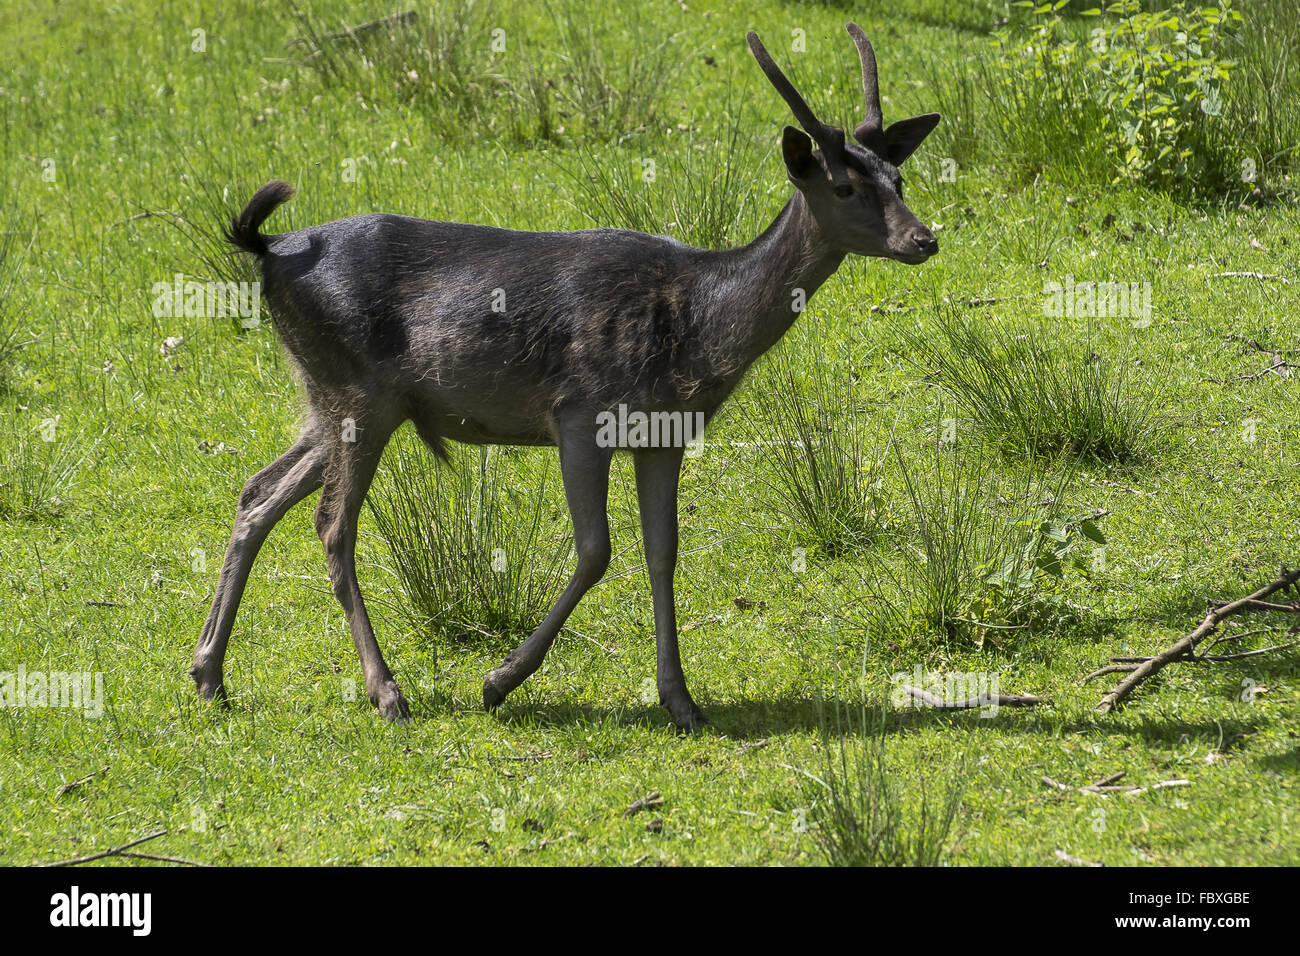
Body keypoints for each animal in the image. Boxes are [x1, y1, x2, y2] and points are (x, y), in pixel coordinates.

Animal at [190, 23, 941, 730]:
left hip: (343, 399)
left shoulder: (667, 433)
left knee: (257, 490)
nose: (924, 238)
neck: (699, 327)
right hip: (356, 393)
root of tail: (269, 251)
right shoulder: (580, 411)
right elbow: (595, 550)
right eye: (843, 185)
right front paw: (498, 681)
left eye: (899, 180)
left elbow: (663, 551)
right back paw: (386, 693)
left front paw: (682, 703)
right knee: (331, 523)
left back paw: (208, 675)